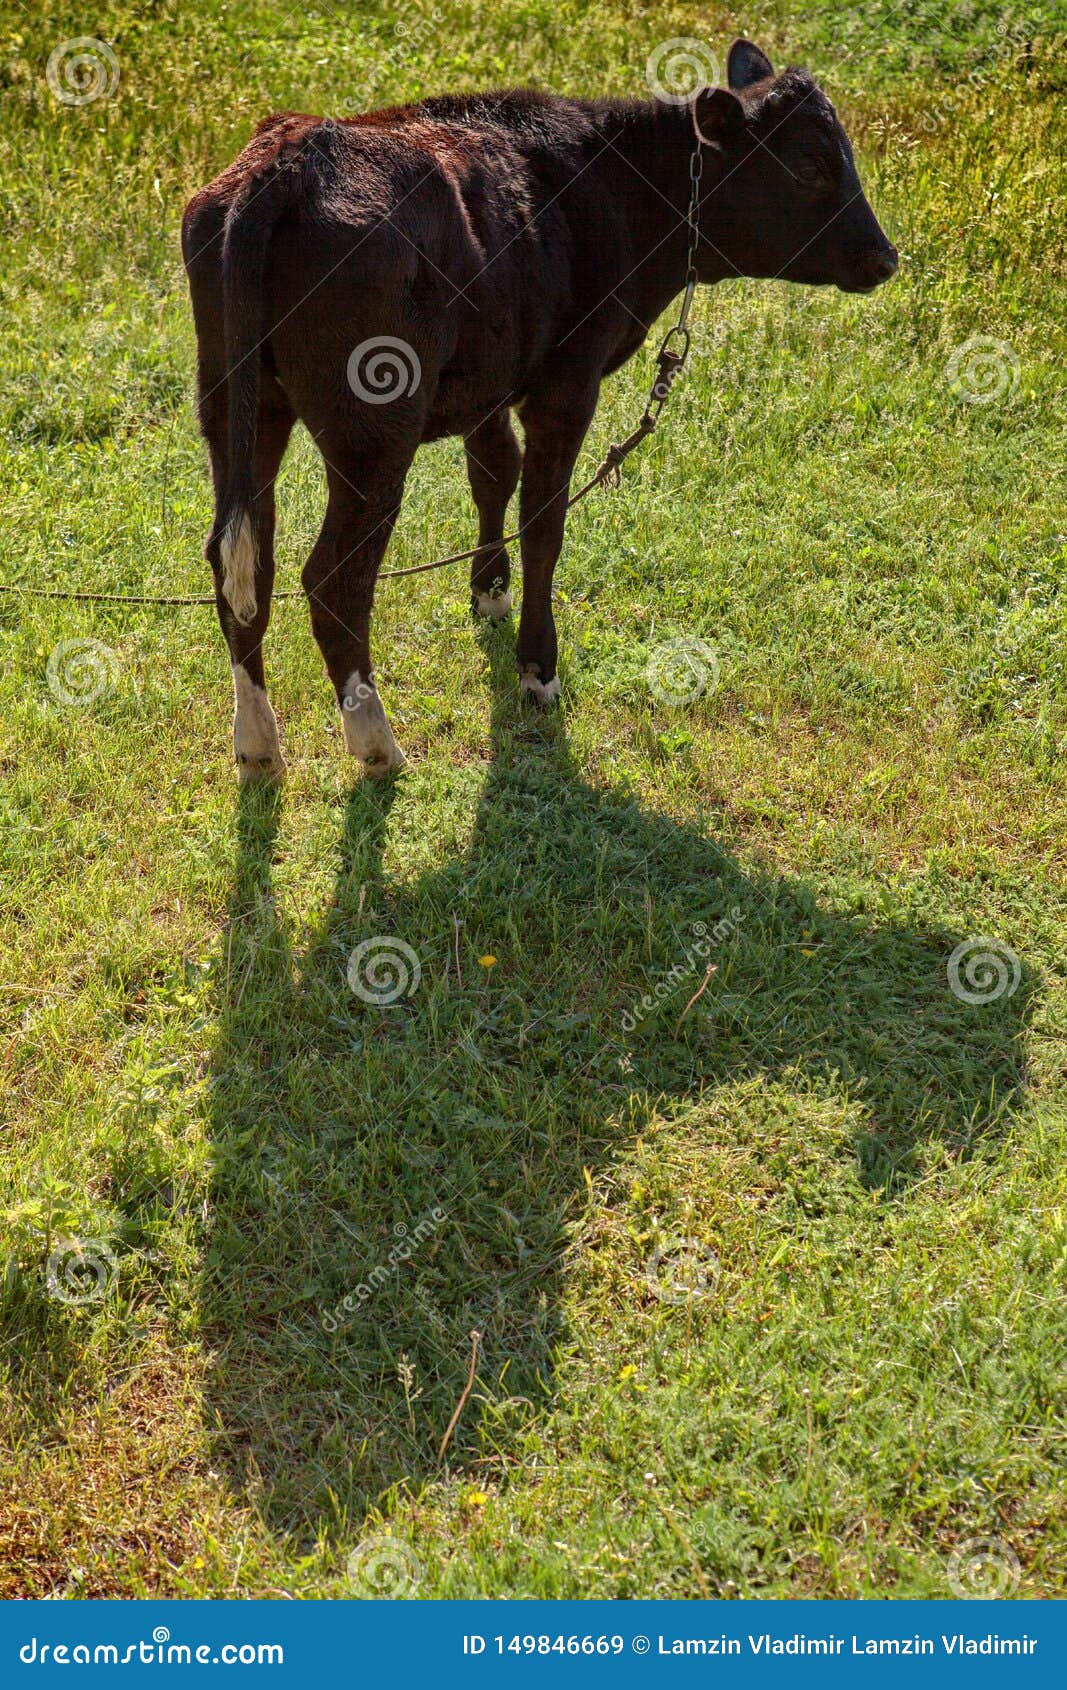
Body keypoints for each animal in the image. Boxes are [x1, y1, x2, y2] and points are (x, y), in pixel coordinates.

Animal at [181, 38, 897, 781]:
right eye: (811, 163)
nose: (884, 257)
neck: (612, 186)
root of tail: (290, 157)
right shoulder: (567, 383)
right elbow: (543, 520)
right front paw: (536, 668)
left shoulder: (492, 378)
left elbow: (494, 472)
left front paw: (489, 592)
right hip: (372, 427)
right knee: (333, 580)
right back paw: (376, 743)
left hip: (236, 406)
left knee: (241, 564)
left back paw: (258, 745)